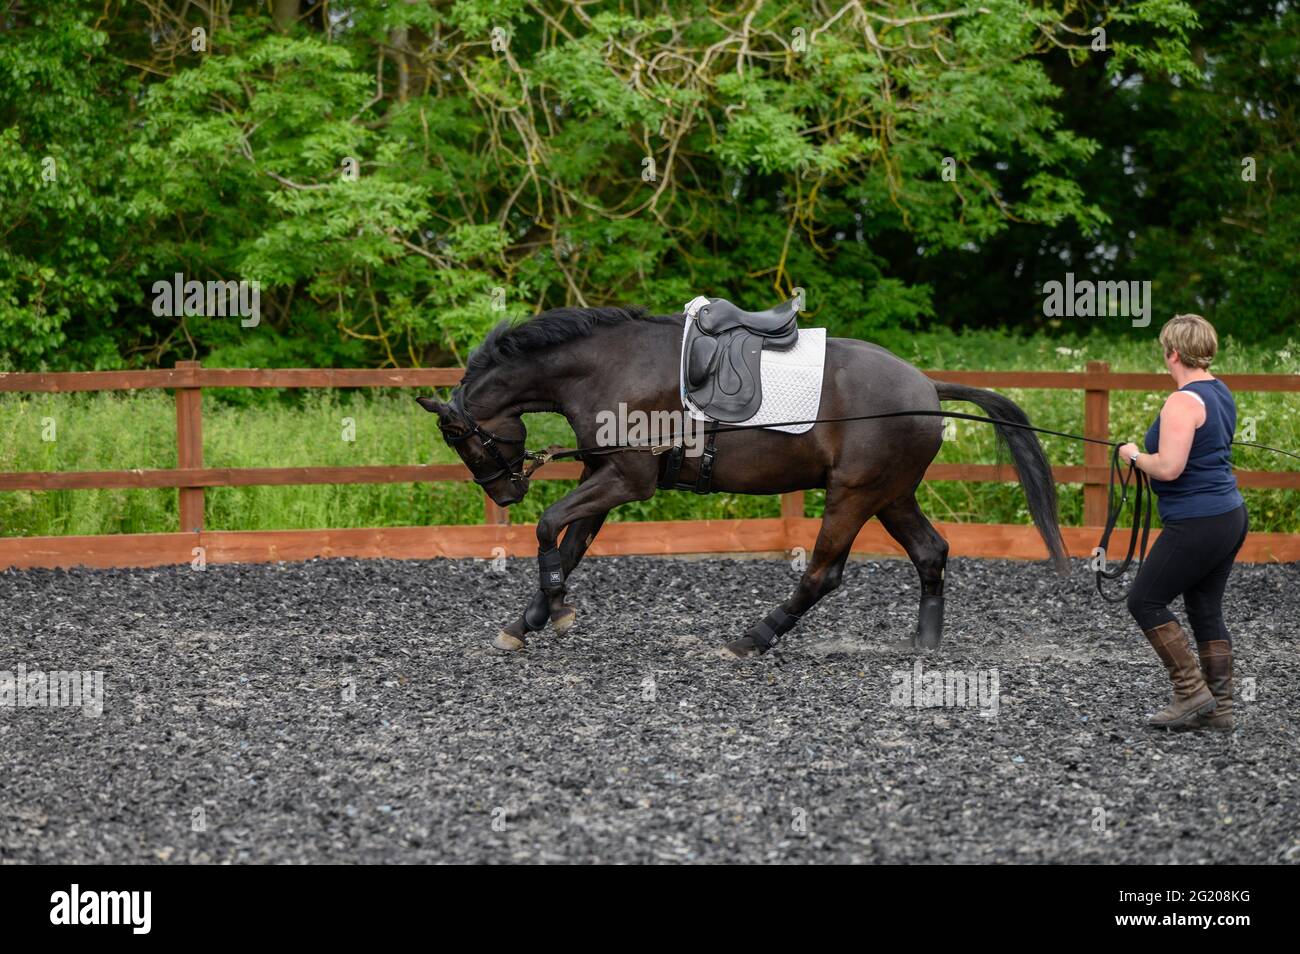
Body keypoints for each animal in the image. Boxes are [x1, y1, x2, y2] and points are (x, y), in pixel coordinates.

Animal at [417, 305, 1069, 657]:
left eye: (457, 437)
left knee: (823, 573)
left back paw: (753, 638)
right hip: (892, 495)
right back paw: (924, 644)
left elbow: (549, 525)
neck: (604, 366)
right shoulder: (605, 472)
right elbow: (570, 544)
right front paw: (529, 620)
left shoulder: (627, 478)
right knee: (931, 552)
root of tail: (928, 387)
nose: (505, 492)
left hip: (854, 495)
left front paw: (553, 608)